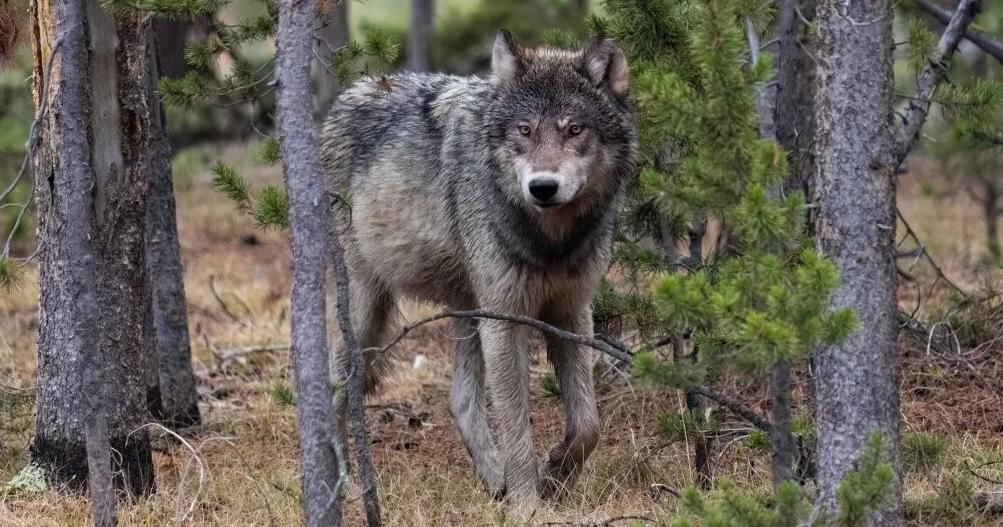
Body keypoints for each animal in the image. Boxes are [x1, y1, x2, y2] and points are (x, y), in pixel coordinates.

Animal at [320, 30, 637, 514]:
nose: (542, 187)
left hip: (467, 308)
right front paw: (527, 507)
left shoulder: (571, 311)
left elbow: (587, 423)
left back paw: (494, 478)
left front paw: (556, 475)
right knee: (336, 392)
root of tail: (347, 94)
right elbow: (516, 423)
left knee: (460, 400)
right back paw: (347, 488)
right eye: (525, 130)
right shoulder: (505, 320)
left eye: (574, 129)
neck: (550, 242)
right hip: (364, 311)